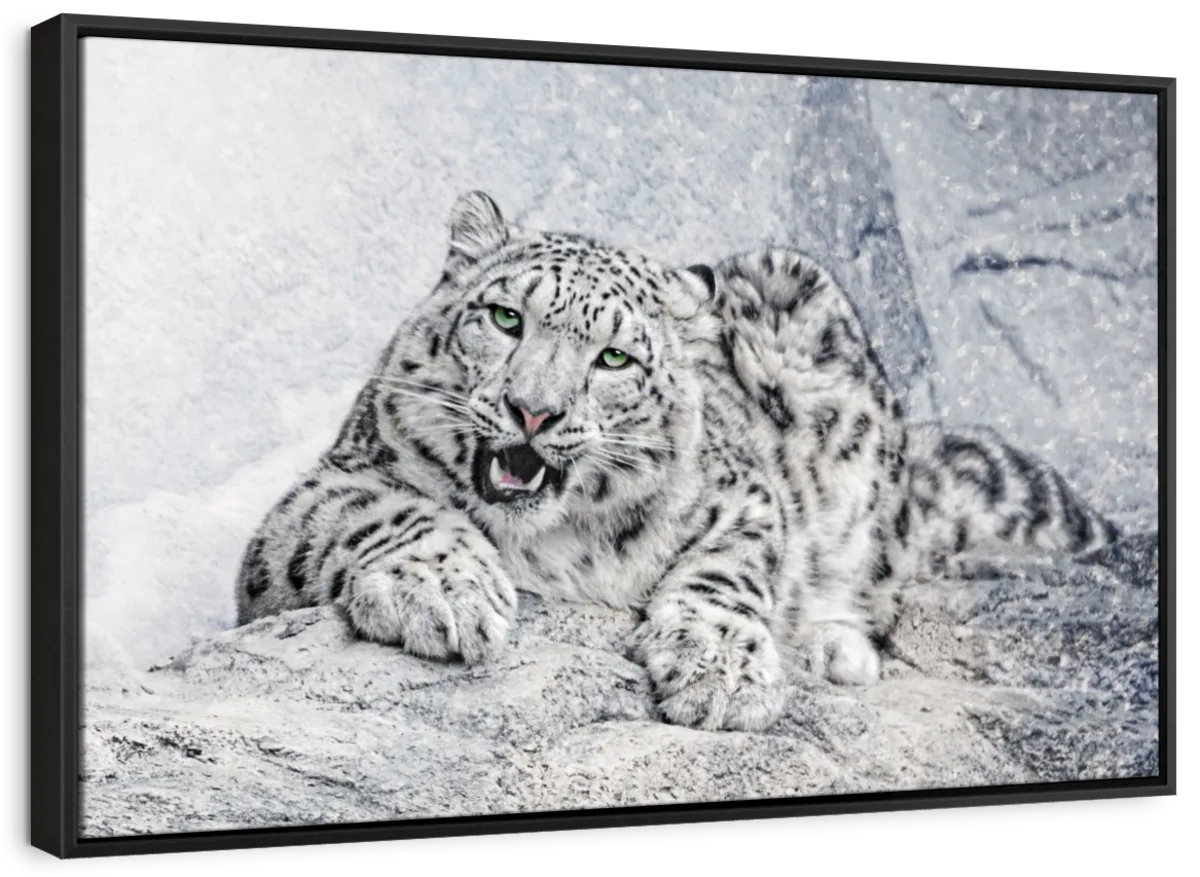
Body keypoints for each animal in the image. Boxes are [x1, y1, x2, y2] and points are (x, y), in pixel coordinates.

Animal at [236, 191, 1118, 731]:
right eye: (505, 317)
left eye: (615, 357)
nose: (534, 410)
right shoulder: (320, 493)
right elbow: (391, 507)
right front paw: (444, 593)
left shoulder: (745, 494)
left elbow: (732, 567)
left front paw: (722, 672)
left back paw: (832, 648)